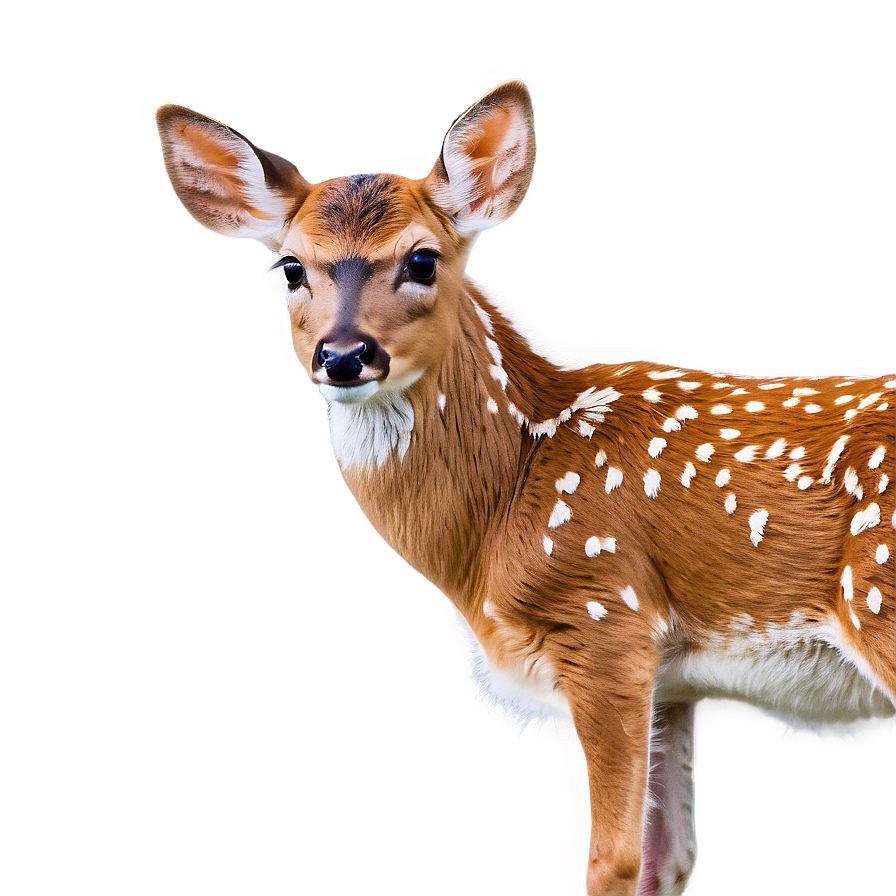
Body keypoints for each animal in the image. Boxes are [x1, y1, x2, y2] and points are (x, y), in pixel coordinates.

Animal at [156, 79, 895, 895]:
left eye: (423, 258)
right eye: (288, 268)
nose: (344, 354)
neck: (508, 498)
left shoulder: (604, 615)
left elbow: (613, 858)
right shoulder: (675, 677)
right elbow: (669, 859)